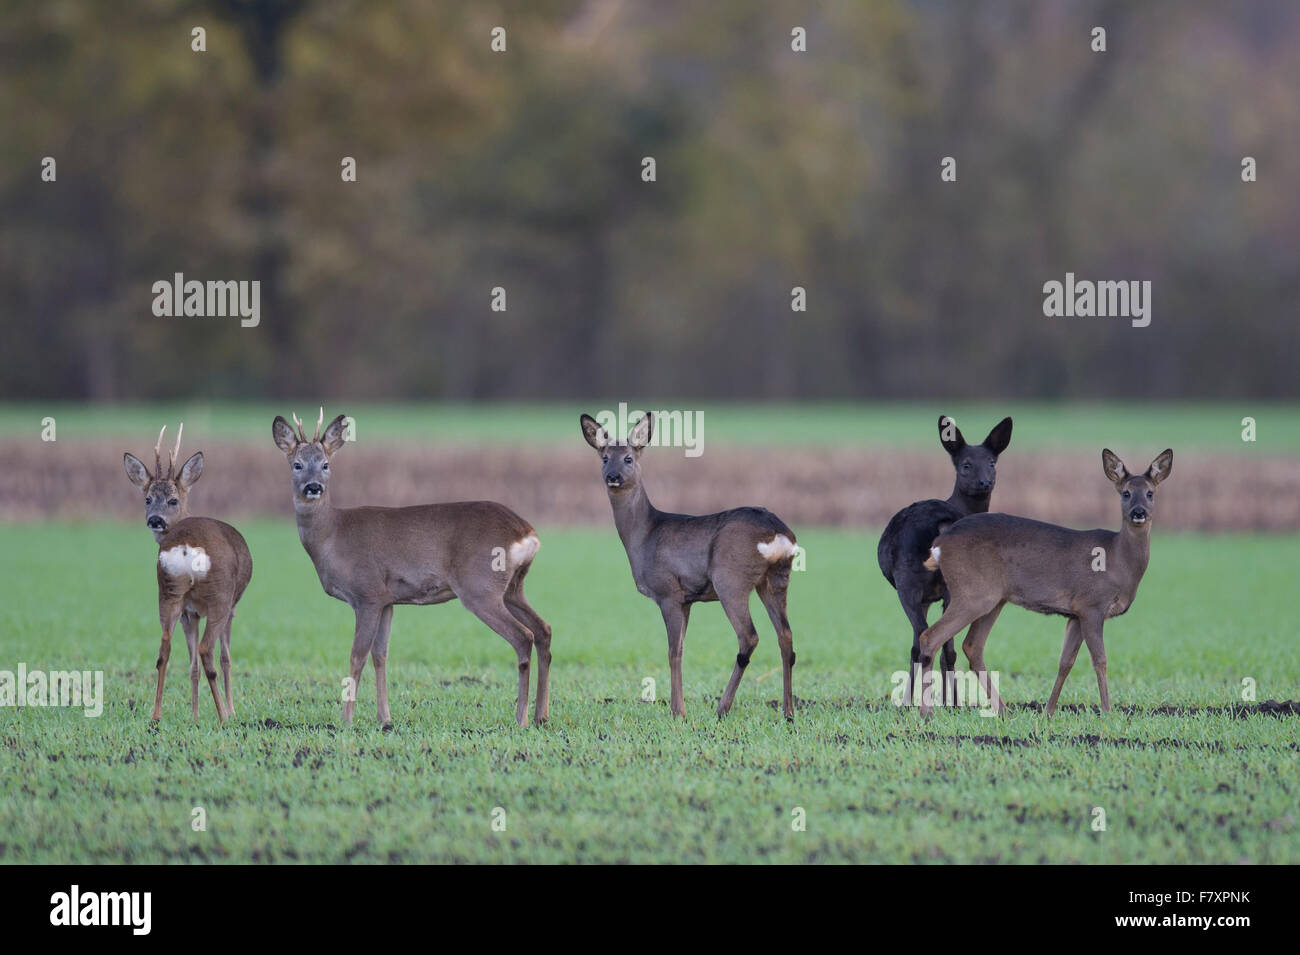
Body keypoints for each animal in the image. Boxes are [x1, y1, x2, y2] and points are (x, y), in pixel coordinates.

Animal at [124, 425, 252, 723]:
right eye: (148, 498)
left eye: (172, 499)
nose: (155, 519)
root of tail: (184, 547)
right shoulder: (231, 606)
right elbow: (226, 658)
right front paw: (231, 710)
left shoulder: (189, 611)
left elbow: (190, 665)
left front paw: (194, 715)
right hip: (219, 595)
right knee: (208, 652)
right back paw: (223, 716)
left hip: (167, 592)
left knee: (164, 649)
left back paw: (156, 715)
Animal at [271, 409, 551, 728]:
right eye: (297, 464)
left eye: (325, 464)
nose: (313, 487)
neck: (332, 536)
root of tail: (526, 532)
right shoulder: (387, 600)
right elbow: (380, 655)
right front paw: (384, 718)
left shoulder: (367, 593)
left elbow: (357, 655)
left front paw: (345, 720)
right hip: (513, 588)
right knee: (543, 630)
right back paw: (541, 715)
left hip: (480, 587)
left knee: (523, 636)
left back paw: (521, 718)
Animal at [580, 412, 799, 720]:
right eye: (604, 457)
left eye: (629, 458)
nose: (613, 476)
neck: (644, 535)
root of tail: (778, 531)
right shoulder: (687, 600)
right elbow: (681, 648)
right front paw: (678, 707)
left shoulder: (668, 591)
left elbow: (673, 652)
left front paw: (678, 711)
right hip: (776, 579)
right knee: (786, 637)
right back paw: (788, 712)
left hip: (730, 579)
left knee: (749, 637)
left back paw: (722, 708)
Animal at [877, 415, 1012, 706]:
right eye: (966, 465)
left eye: (992, 462)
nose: (984, 483)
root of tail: (942, 521)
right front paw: (944, 701)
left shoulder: (926, 594)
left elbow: (916, 644)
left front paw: (911, 701)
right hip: (945, 585)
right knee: (939, 642)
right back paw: (950, 703)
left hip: (908, 580)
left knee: (923, 639)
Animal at [914, 448, 1173, 717]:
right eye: (1126, 493)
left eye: (1150, 493)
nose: (1138, 512)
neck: (1117, 561)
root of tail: (940, 544)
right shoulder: (1092, 604)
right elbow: (1100, 660)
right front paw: (1107, 712)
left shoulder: (1075, 614)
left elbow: (1065, 662)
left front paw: (1048, 711)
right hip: (972, 593)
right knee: (930, 637)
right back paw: (926, 713)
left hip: (994, 599)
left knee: (972, 646)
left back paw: (1004, 711)